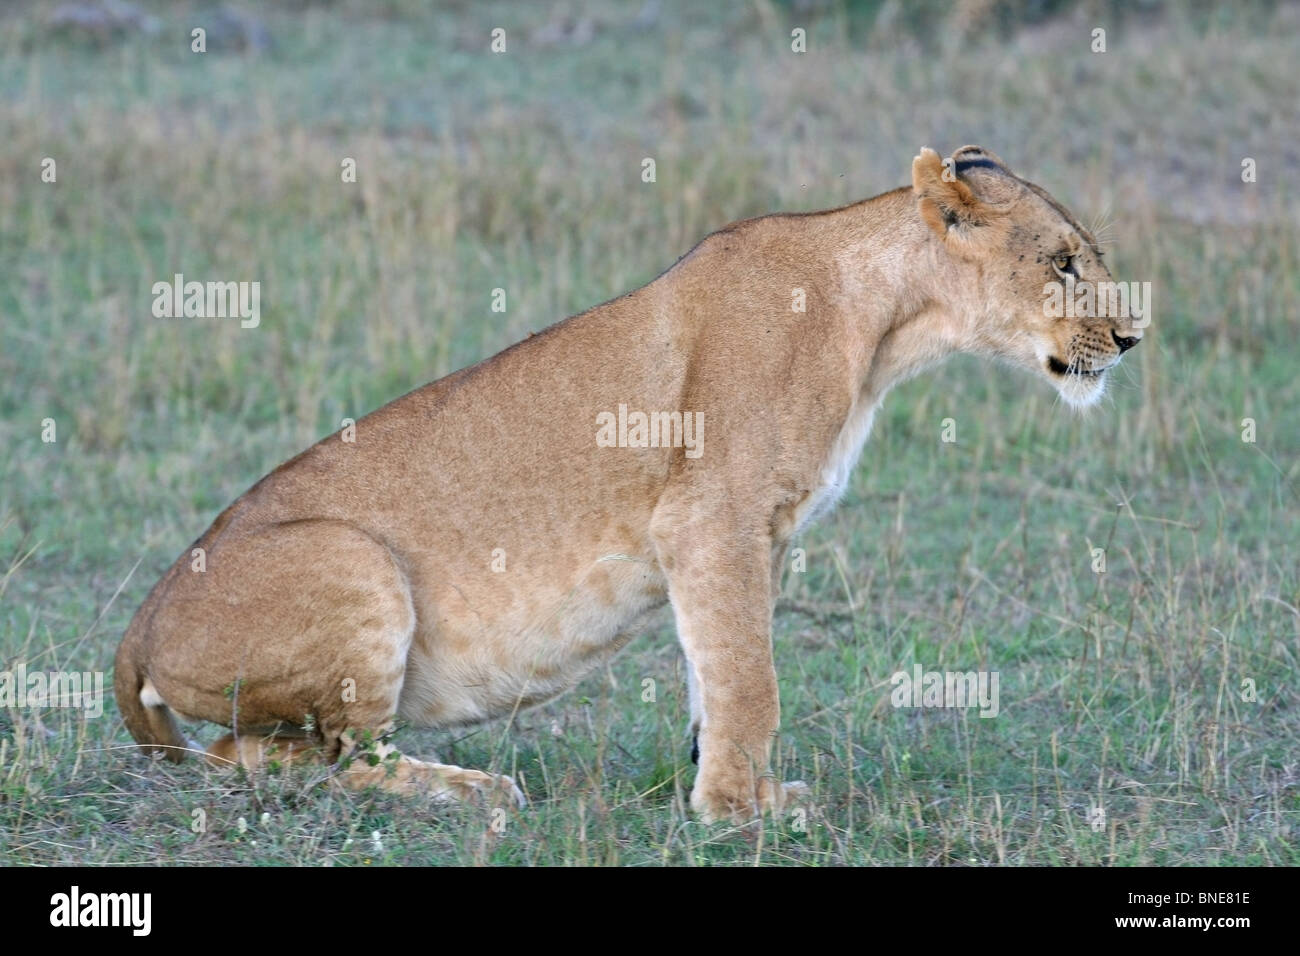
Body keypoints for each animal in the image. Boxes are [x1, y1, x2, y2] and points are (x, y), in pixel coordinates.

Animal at [115, 146, 1142, 823]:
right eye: (1062, 262)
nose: (1132, 337)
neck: (888, 323)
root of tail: (139, 624)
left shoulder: (748, 537)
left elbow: (715, 670)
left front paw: (733, 784)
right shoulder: (713, 518)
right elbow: (751, 678)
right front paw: (736, 810)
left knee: (254, 756)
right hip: (354, 560)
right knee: (352, 761)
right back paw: (478, 790)